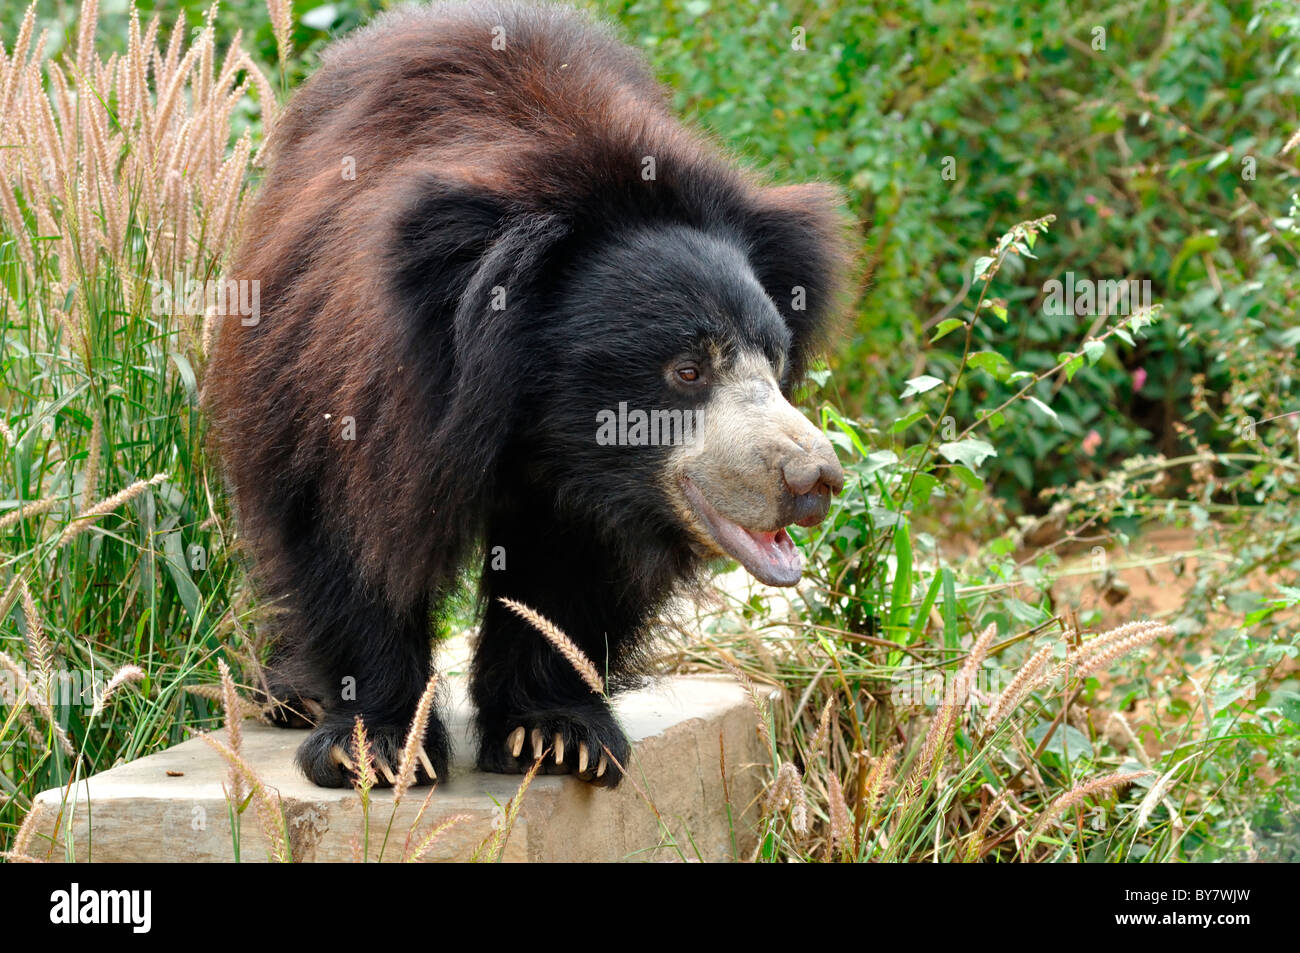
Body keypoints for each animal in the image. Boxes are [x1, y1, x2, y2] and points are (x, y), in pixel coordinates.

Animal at [204, 0, 850, 789]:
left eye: (775, 359)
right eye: (688, 371)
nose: (814, 478)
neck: (539, 422)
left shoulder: (598, 493)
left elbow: (566, 576)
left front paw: (555, 736)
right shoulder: (341, 374)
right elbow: (344, 528)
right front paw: (374, 747)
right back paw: (287, 694)